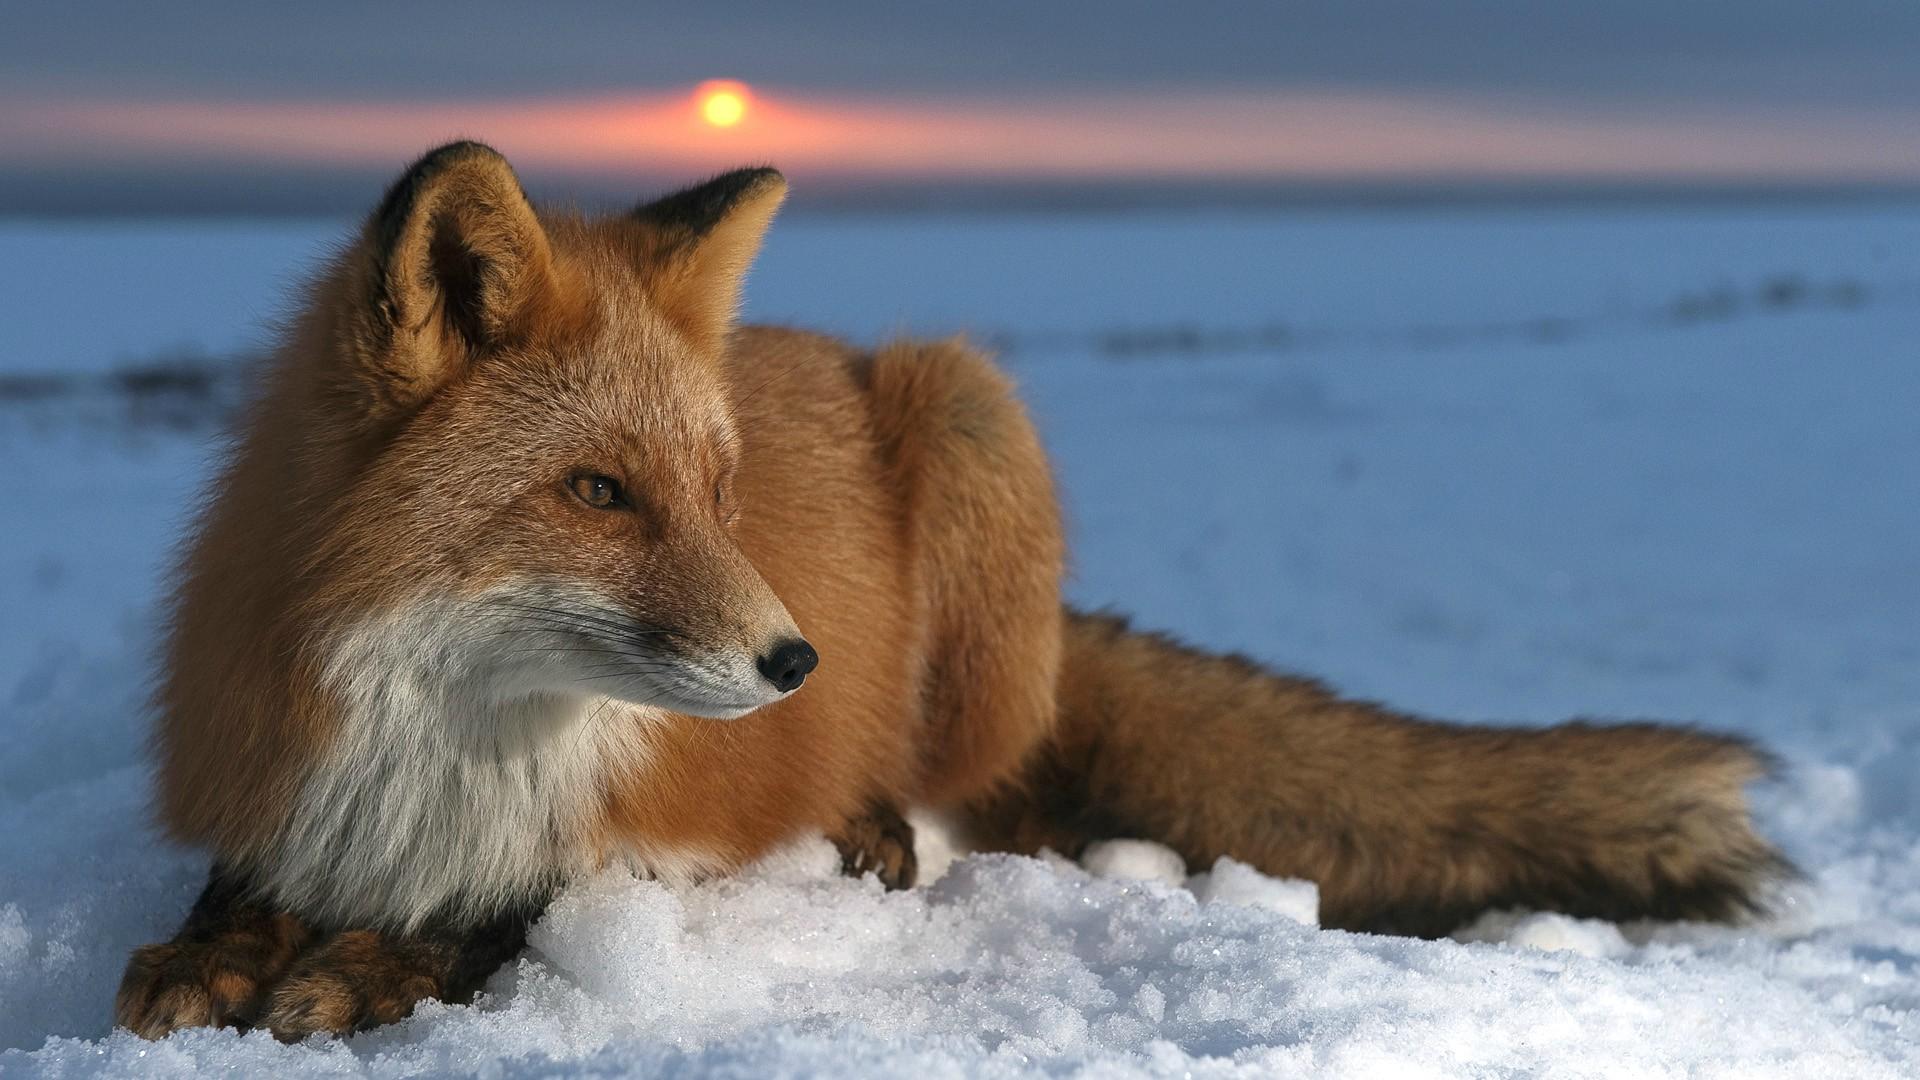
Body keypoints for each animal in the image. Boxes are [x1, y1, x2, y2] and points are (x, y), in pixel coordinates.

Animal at [114, 141, 1790, 1040]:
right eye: (597, 492)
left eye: (720, 493)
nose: (796, 662)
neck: (442, 745)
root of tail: (832, 347)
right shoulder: (281, 778)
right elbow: (230, 892)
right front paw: (214, 953)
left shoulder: (651, 835)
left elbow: (511, 911)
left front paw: (368, 967)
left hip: (973, 417)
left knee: (1005, 799)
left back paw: (881, 828)